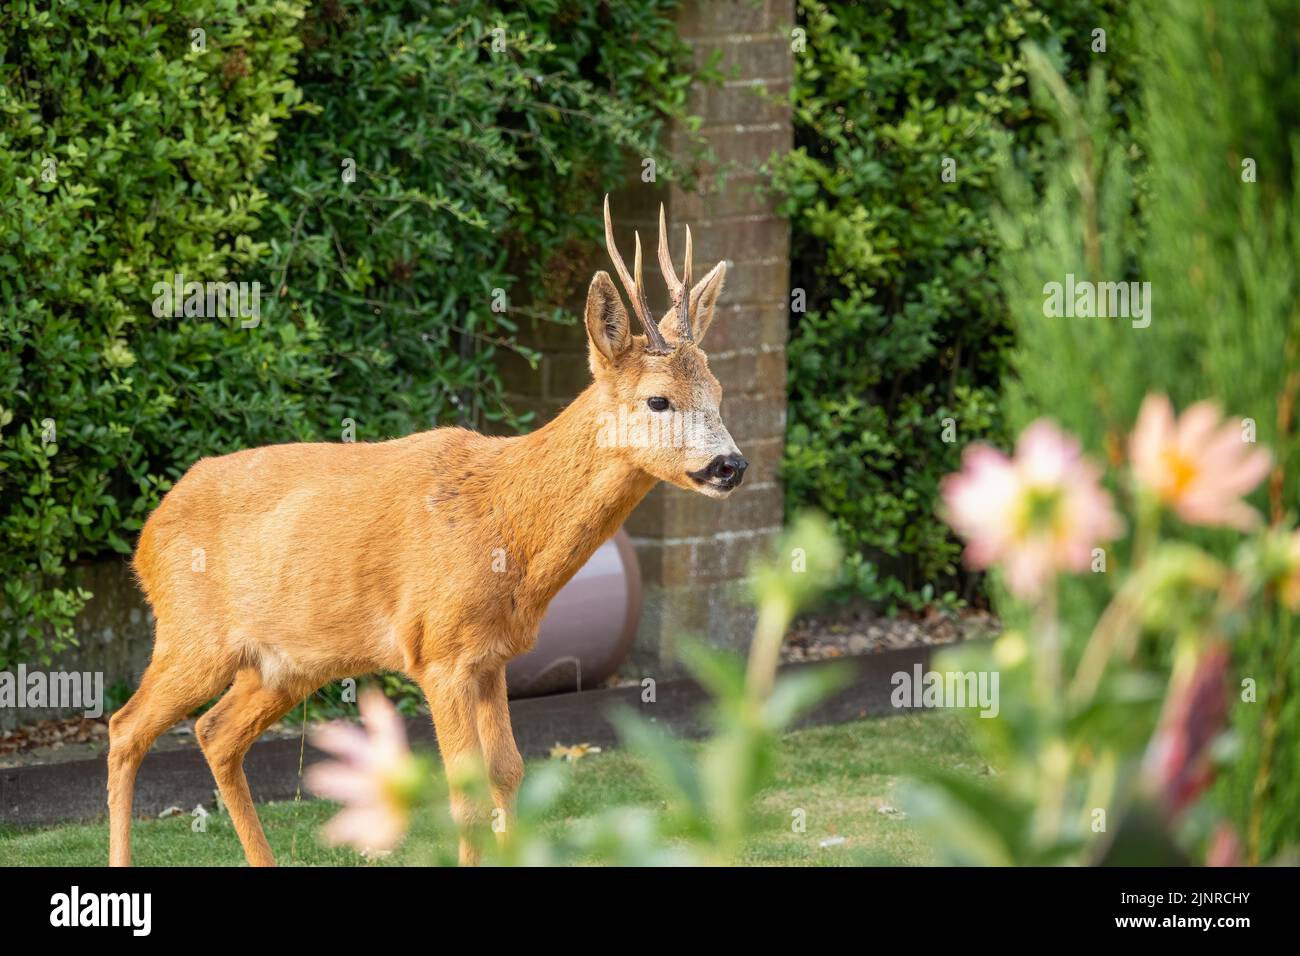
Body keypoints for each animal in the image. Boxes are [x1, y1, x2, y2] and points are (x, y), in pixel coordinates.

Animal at [109, 197, 748, 866]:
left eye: (718, 391)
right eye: (658, 400)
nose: (731, 465)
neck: (507, 529)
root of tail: (147, 532)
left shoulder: (491, 657)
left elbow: (509, 774)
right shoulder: (439, 651)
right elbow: (465, 796)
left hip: (285, 661)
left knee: (215, 732)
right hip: (191, 634)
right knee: (126, 726)